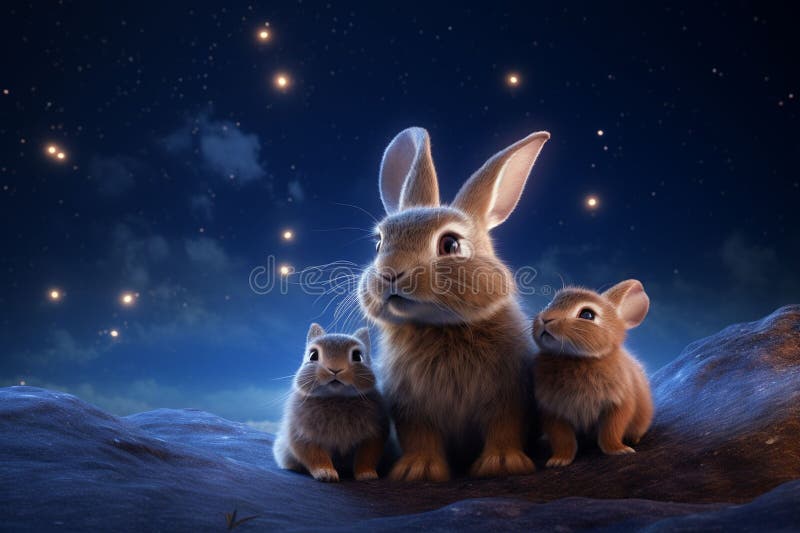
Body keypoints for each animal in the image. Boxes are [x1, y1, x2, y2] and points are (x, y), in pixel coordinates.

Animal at [273, 323, 389, 482]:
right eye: (313, 355)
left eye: (357, 356)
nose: (335, 369)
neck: (336, 397)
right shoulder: (302, 435)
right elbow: (316, 456)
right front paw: (326, 474)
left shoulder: (374, 436)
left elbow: (367, 457)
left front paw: (367, 475)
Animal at [358, 126, 550, 481]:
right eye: (378, 244)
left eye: (450, 244)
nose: (389, 273)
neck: (441, 325)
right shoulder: (411, 408)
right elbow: (420, 437)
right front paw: (417, 470)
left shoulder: (509, 397)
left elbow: (504, 428)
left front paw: (502, 464)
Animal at [531, 279, 654, 467]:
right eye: (550, 303)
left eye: (587, 315)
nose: (545, 319)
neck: (577, 358)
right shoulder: (552, 412)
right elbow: (563, 439)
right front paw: (558, 461)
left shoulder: (618, 404)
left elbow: (611, 432)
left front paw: (620, 450)